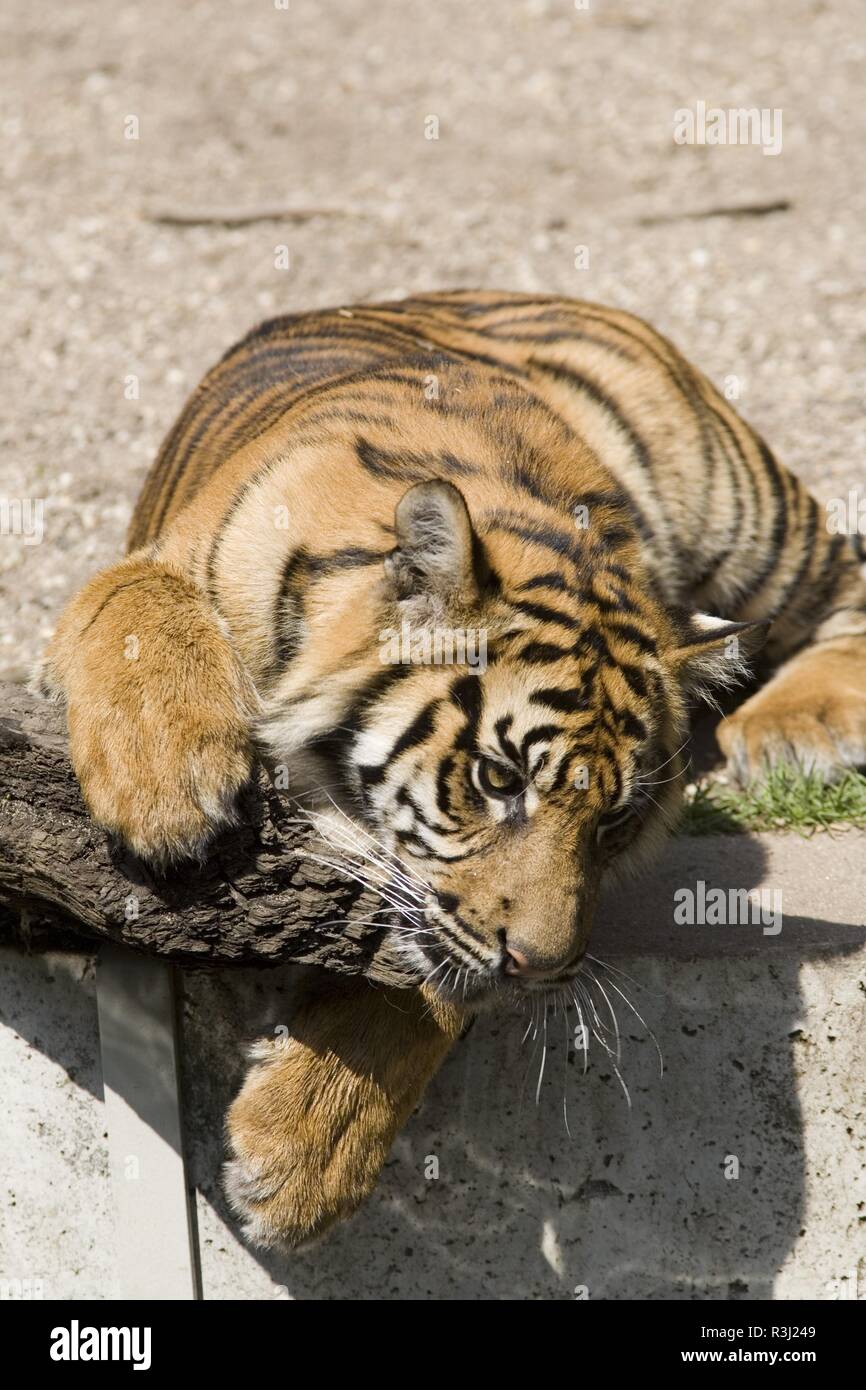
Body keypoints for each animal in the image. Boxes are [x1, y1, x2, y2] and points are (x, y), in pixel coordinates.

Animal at [39, 290, 866, 1248]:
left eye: (615, 822)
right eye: (498, 780)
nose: (542, 972)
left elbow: (432, 965)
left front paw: (304, 1152)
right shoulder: (159, 560)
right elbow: (139, 609)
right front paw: (168, 797)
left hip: (740, 513)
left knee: (846, 581)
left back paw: (797, 725)